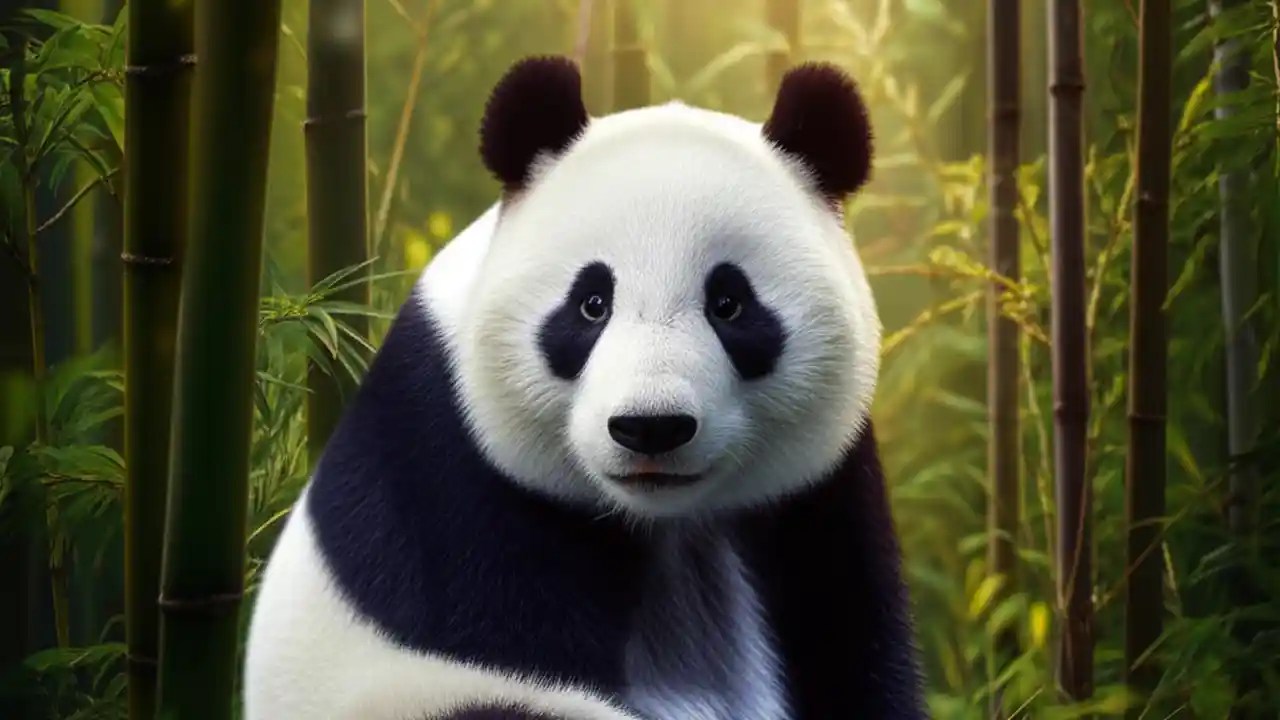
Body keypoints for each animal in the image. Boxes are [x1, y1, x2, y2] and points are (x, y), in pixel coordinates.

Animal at [243, 55, 925, 720]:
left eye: (730, 304)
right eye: (592, 304)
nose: (652, 427)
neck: (663, 520)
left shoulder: (819, 497)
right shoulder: (450, 489)